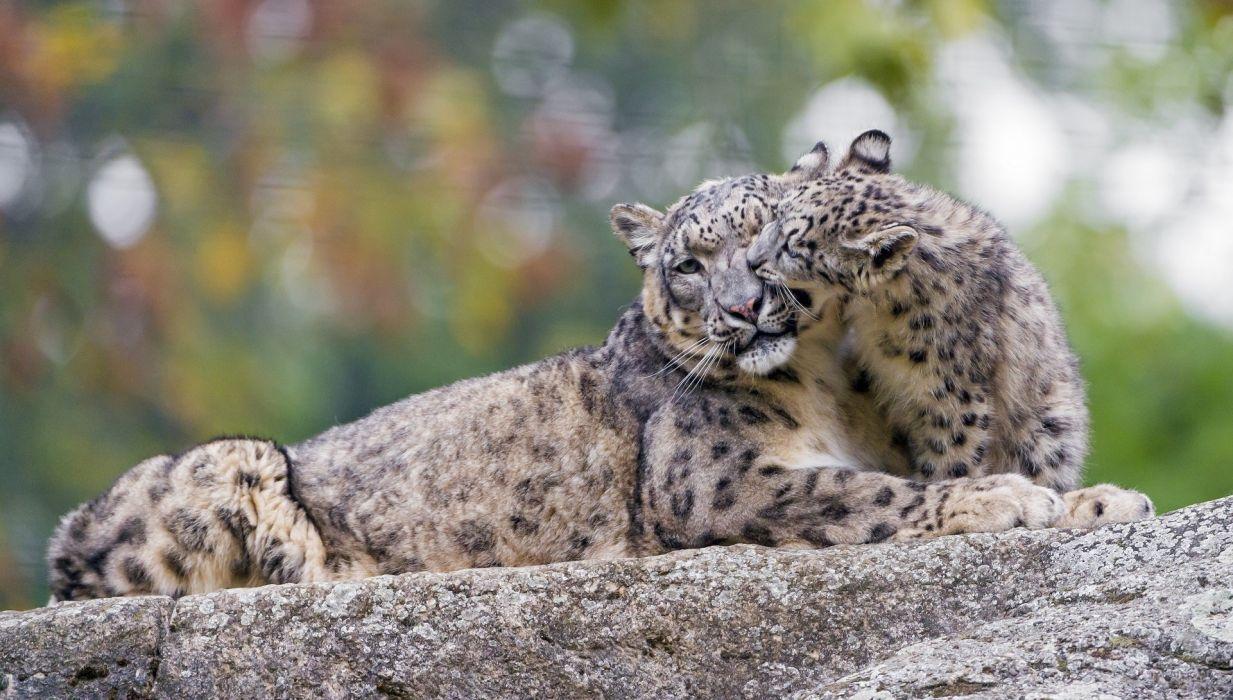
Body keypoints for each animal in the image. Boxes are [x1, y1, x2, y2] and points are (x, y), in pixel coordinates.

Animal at [46, 169, 1074, 603]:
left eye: (766, 240)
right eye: (686, 265)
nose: (742, 308)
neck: (831, 384)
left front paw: (1076, 500)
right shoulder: (715, 481)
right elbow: (863, 494)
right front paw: (1002, 498)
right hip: (227, 462)